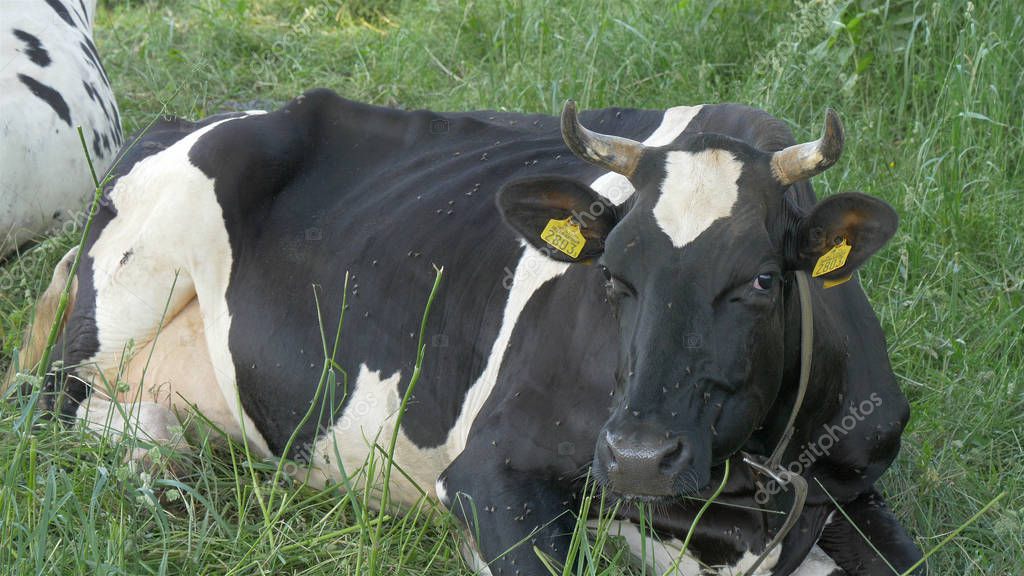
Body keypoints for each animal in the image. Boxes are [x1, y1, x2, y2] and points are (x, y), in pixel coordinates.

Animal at [19, 89, 925, 575]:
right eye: (612, 275)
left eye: (762, 281)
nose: (637, 456)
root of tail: (194, 118)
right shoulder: (491, 468)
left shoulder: (855, 486)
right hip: (128, 289)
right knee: (52, 404)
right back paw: (162, 461)